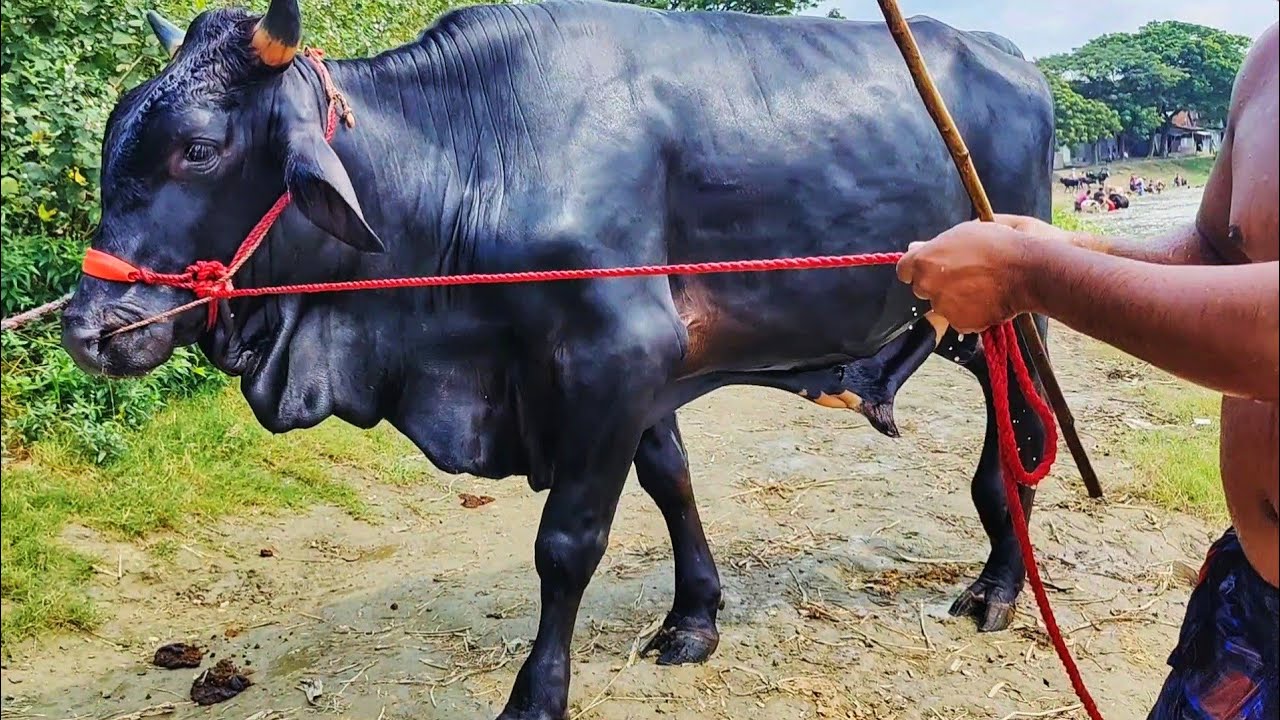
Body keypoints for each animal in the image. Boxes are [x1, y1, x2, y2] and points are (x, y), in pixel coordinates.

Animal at [60, 1, 1056, 717]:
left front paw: (536, 698)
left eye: (198, 149)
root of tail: (1016, 60)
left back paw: (998, 587)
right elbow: (671, 481)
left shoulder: (614, 358)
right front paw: (693, 619)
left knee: (1021, 432)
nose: (87, 328)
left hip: (1017, 312)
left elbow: (567, 545)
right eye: (112, 136)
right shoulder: (635, 375)